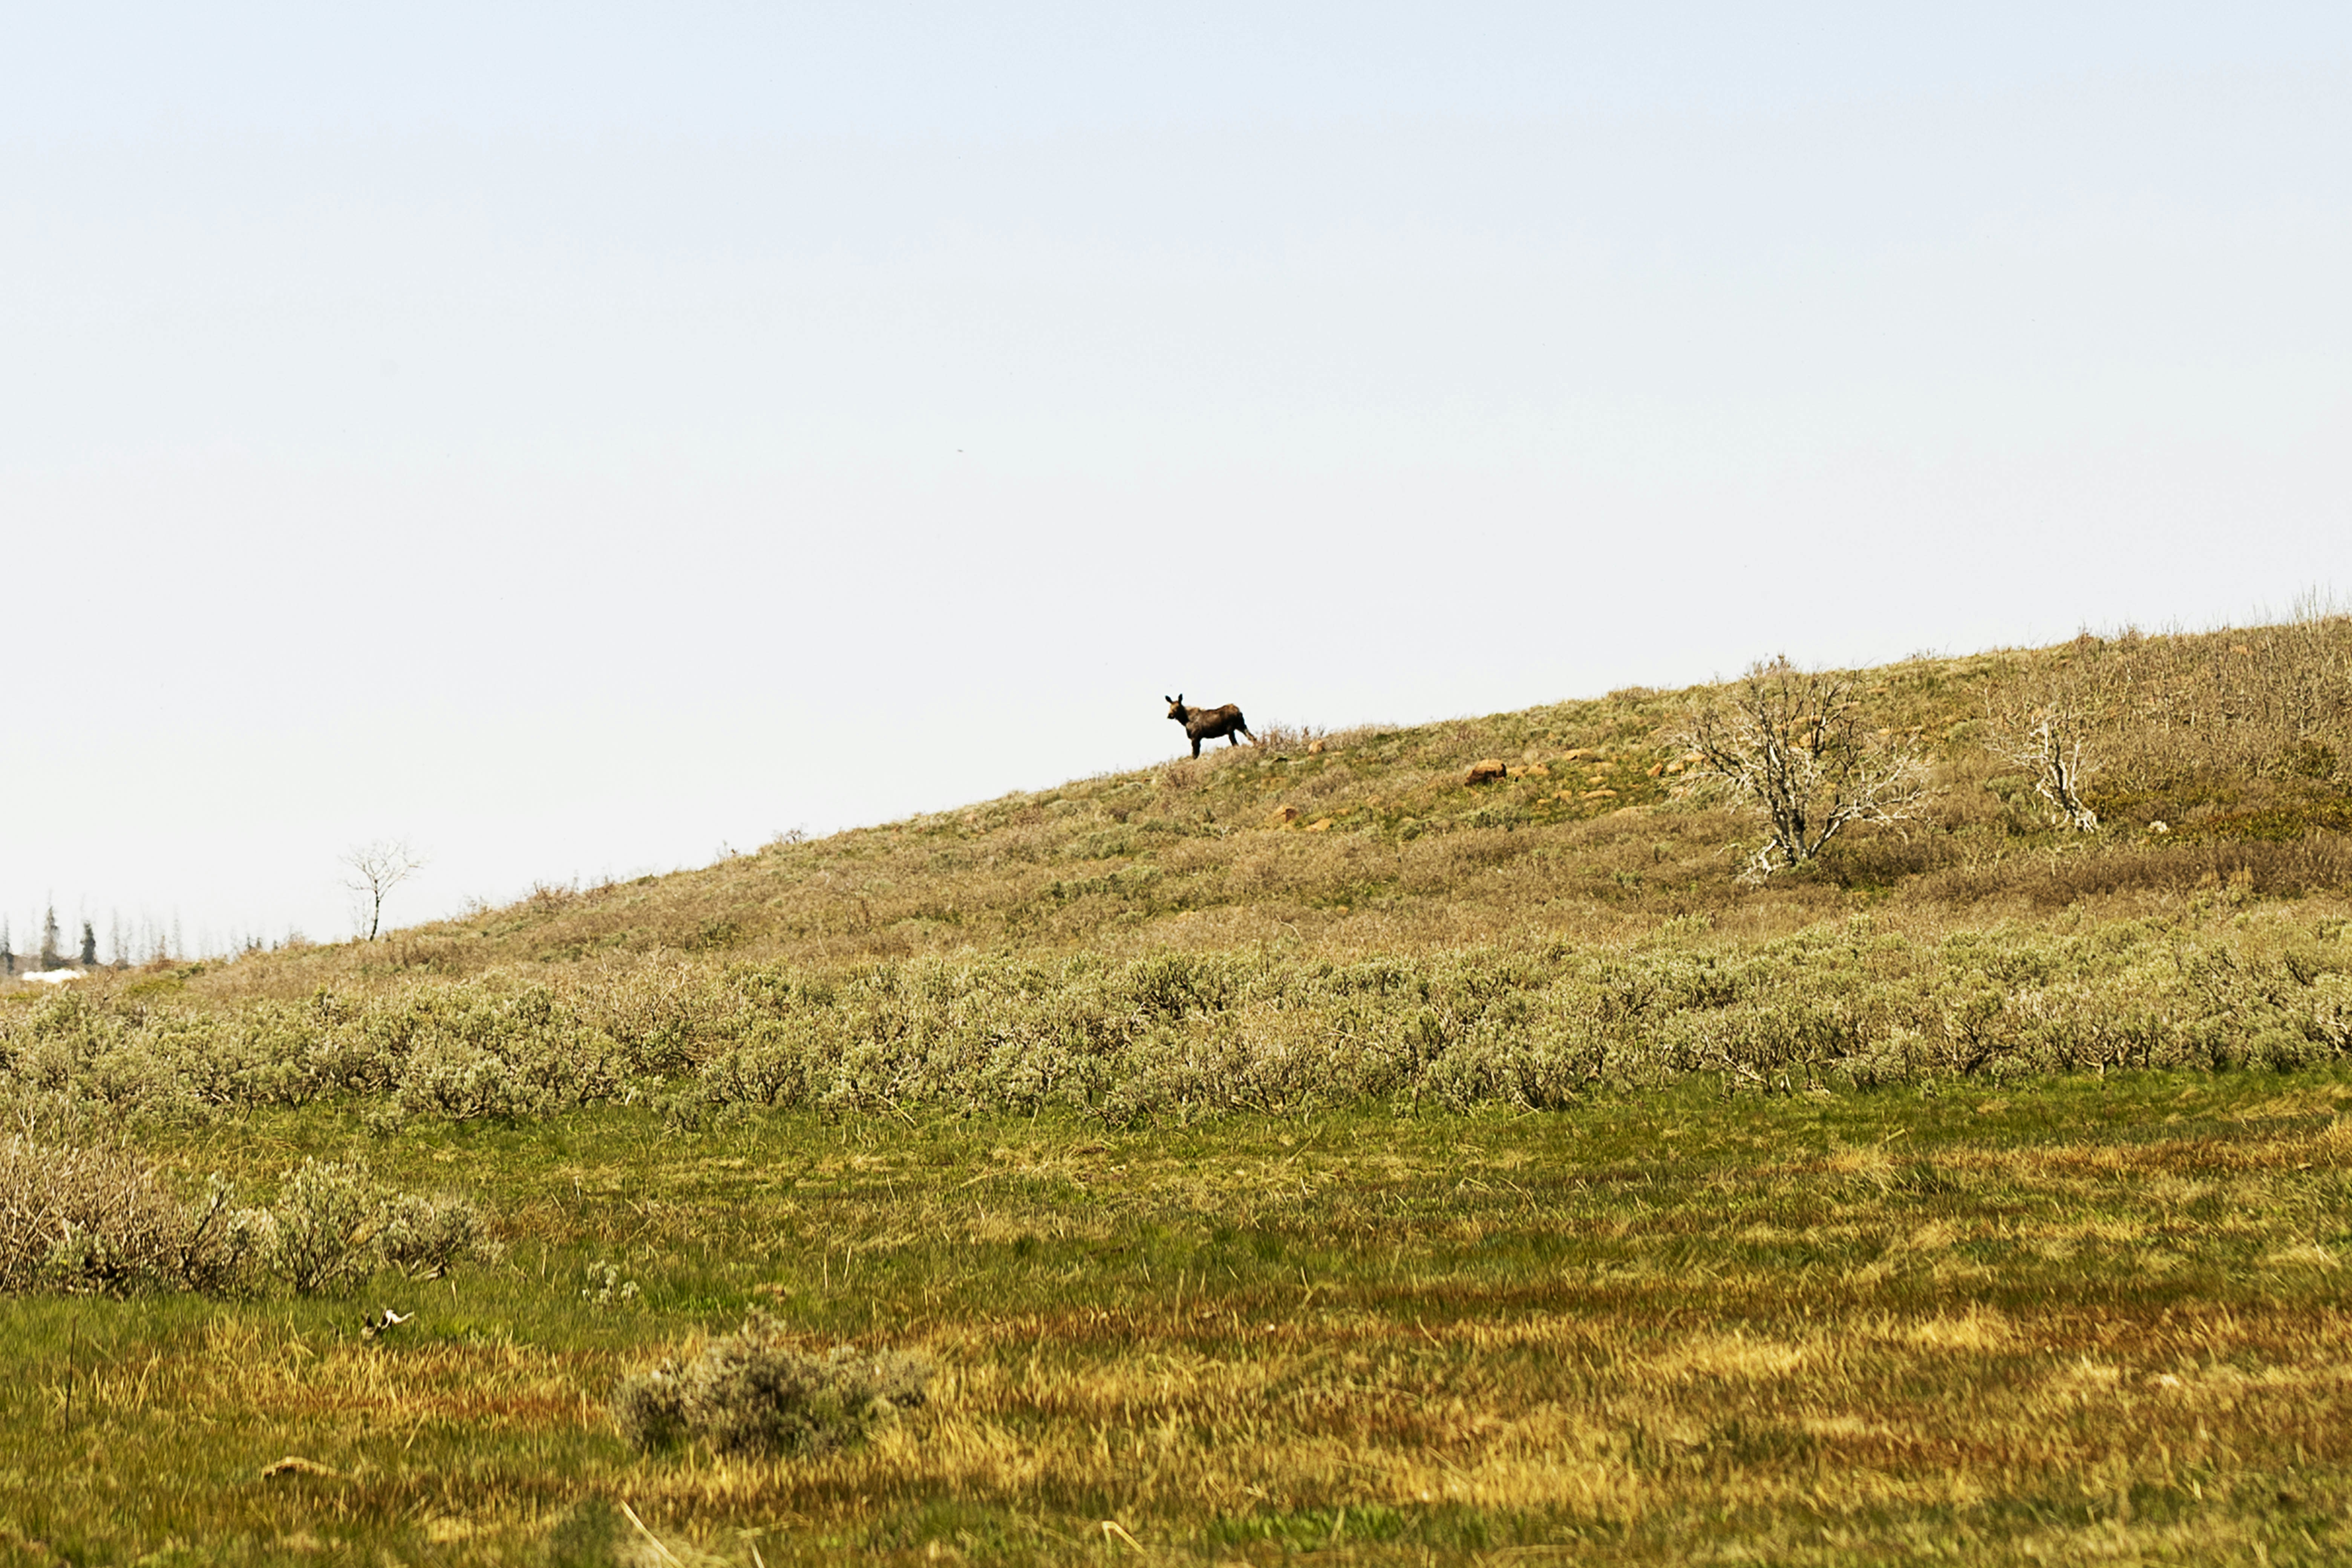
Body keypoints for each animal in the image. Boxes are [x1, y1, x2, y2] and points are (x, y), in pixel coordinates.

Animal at [1165, 694, 1257, 758]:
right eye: (1170, 706)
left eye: (1178, 707)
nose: (1170, 715)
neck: (1185, 721)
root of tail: (1239, 712)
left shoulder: (1195, 737)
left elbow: (1195, 755)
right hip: (1241, 725)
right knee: (1253, 738)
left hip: (1230, 729)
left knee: (1236, 745)